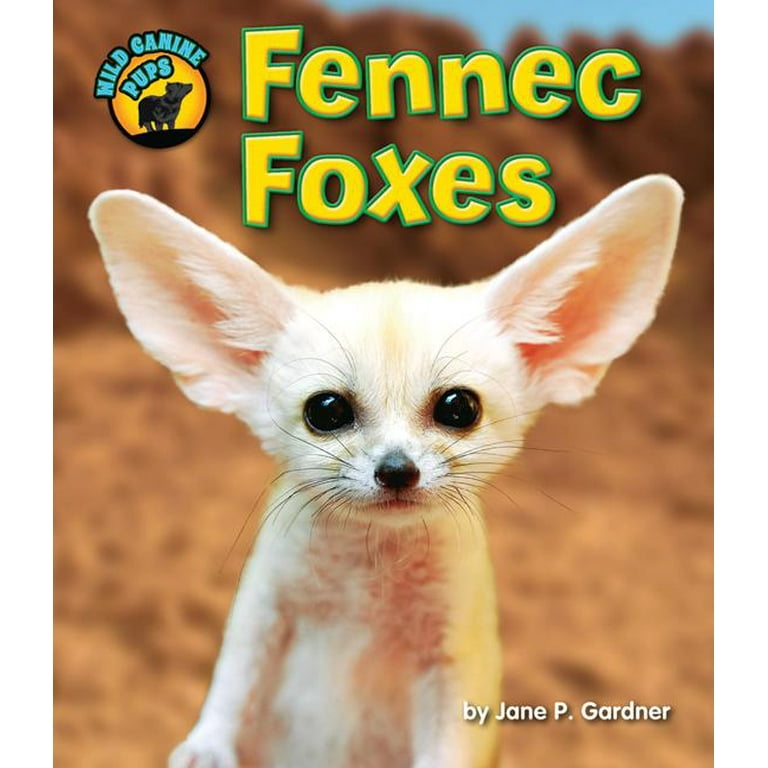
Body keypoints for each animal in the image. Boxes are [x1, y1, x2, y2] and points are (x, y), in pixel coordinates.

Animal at [89, 174, 683, 768]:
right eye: (326, 411)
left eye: (458, 408)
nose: (397, 470)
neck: (366, 586)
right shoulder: (260, 614)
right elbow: (232, 684)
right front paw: (207, 746)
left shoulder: (456, 665)